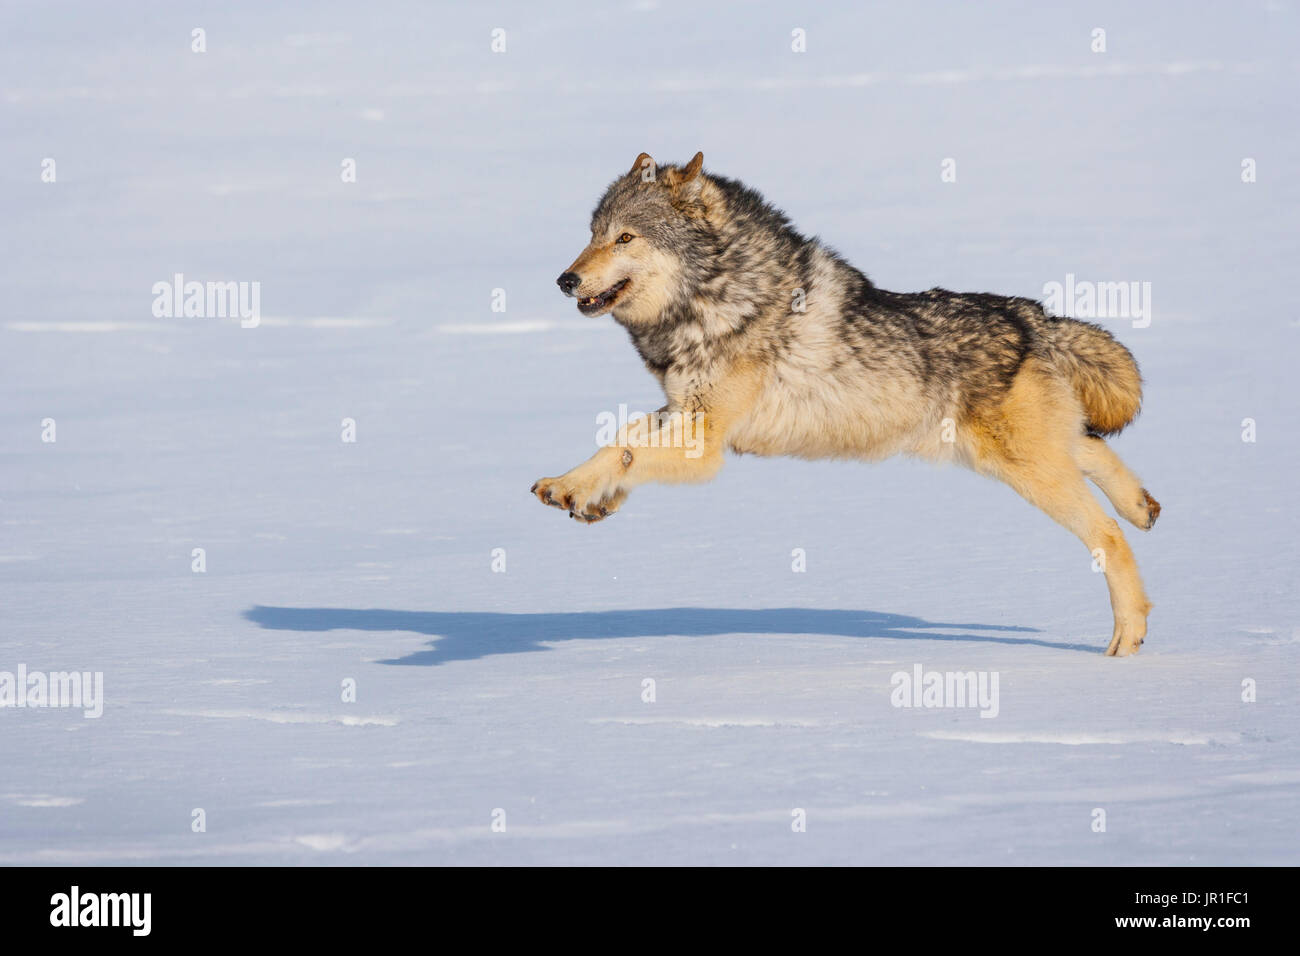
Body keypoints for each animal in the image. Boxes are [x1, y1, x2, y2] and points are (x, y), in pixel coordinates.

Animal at [532, 152, 1160, 656]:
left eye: (626, 238)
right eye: (593, 233)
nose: (565, 279)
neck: (722, 297)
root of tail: (1032, 316)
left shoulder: (705, 445)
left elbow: (625, 449)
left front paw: (572, 490)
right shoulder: (683, 412)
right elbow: (623, 439)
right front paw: (588, 494)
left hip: (1023, 469)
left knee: (1107, 533)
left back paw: (1127, 637)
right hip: (1009, 456)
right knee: (1096, 452)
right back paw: (1143, 507)